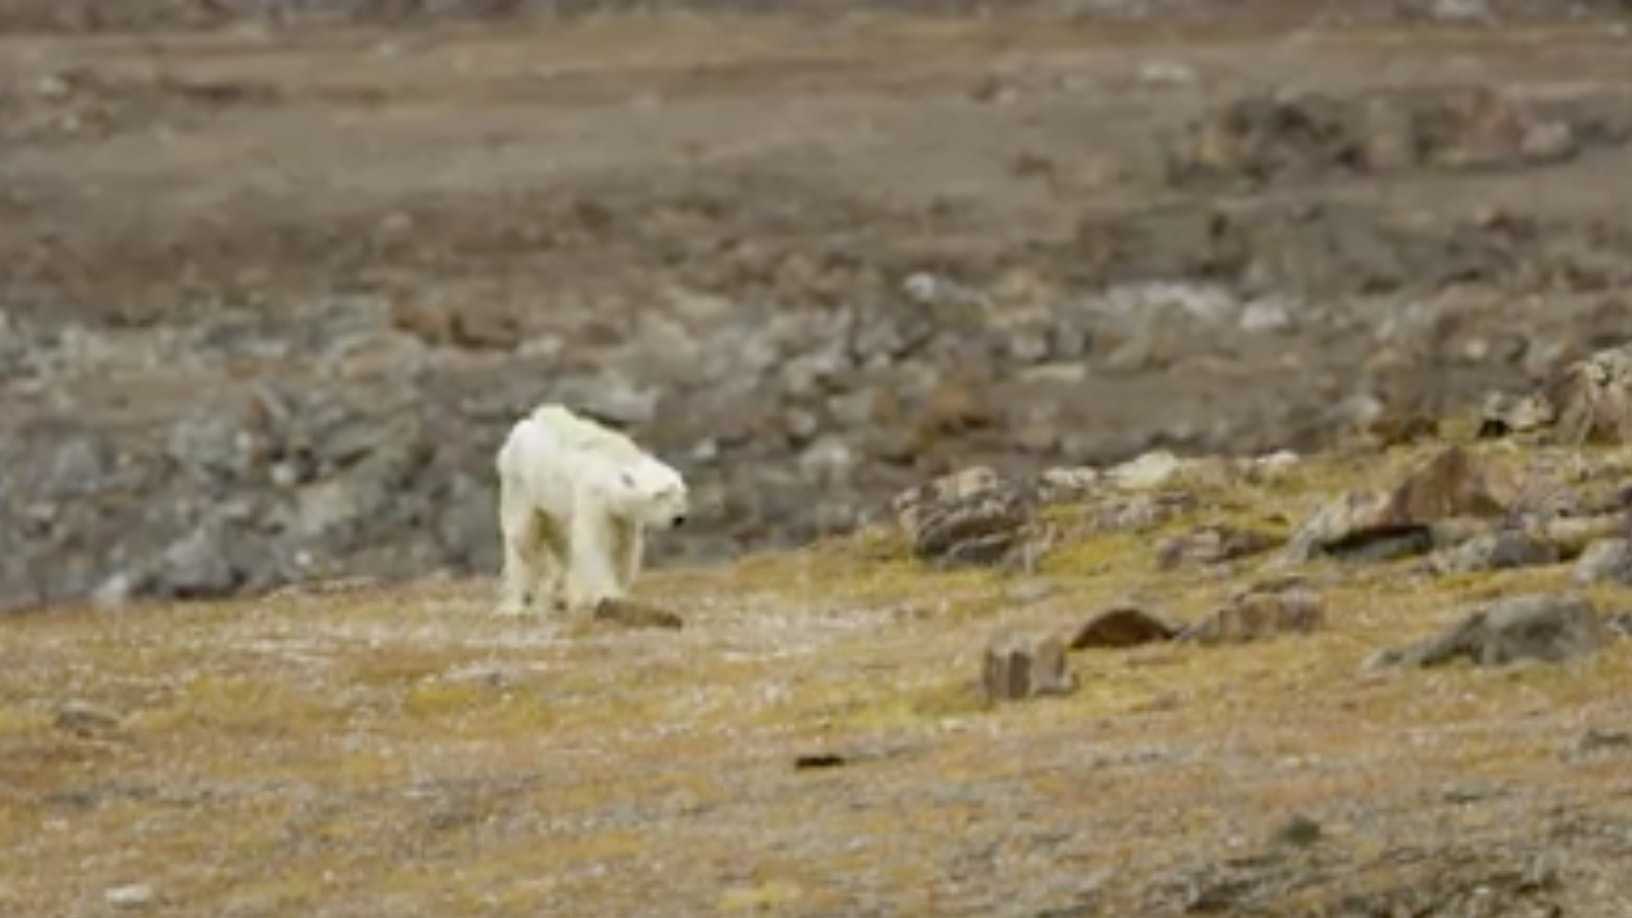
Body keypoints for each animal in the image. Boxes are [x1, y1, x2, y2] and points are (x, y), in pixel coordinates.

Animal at [494, 403, 688, 616]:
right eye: (659, 494)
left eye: (681, 493)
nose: (679, 518)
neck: (613, 460)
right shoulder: (593, 498)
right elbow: (595, 543)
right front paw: (609, 596)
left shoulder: (621, 516)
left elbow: (625, 547)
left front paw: (619, 592)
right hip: (521, 483)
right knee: (523, 538)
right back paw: (518, 604)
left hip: (553, 504)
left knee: (561, 543)